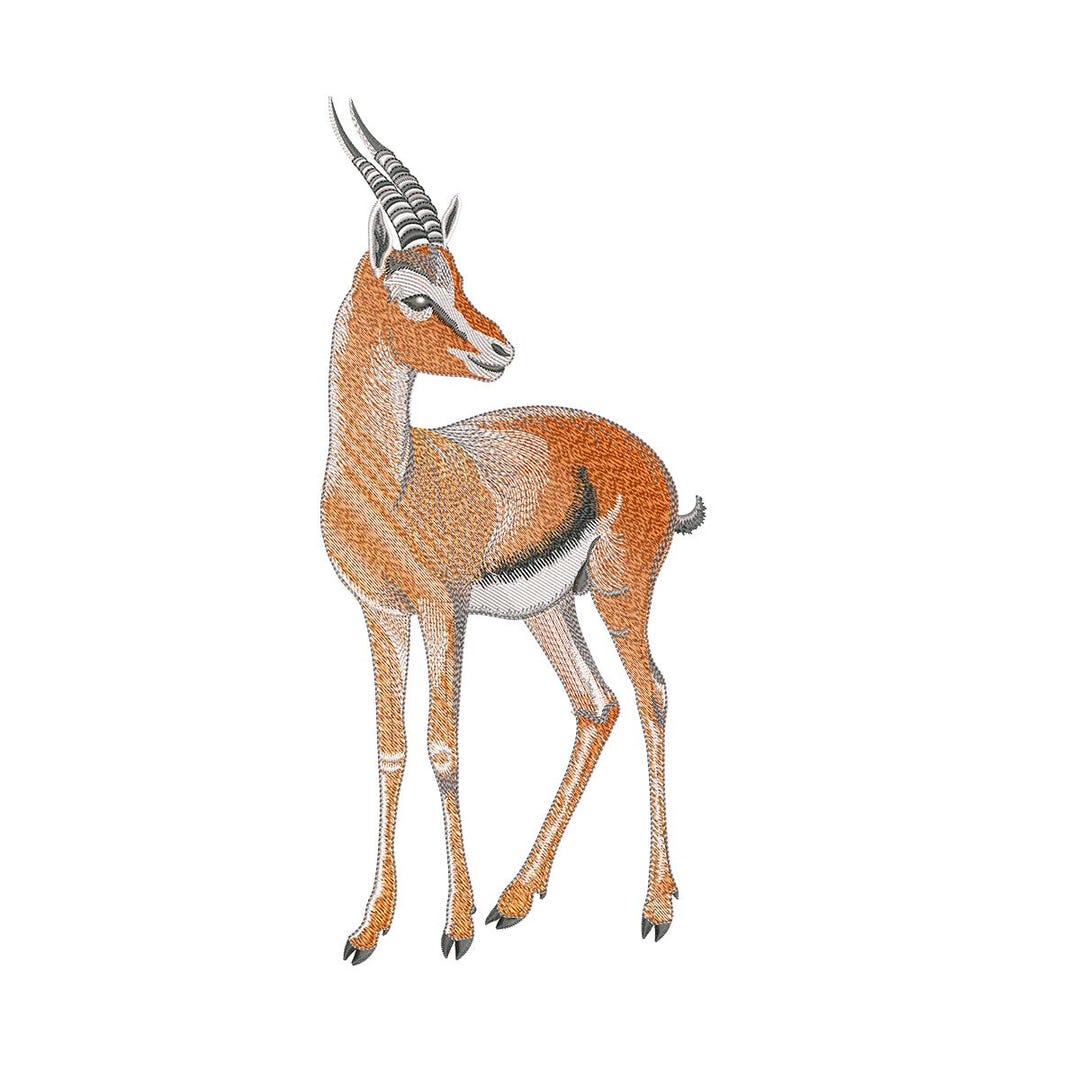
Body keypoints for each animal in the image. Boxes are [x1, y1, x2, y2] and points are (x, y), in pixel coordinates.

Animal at [322, 100, 706, 964]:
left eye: (458, 279)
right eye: (417, 295)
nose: (500, 349)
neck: (393, 480)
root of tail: (651, 460)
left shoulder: (445, 609)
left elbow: (445, 749)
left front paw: (454, 926)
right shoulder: (379, 612)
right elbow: (391, 750)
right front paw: (368, 926)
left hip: (620, 593)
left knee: (655, 694)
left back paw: (656, 907)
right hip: (548, 611)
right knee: (597, 704)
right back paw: (518, 897)